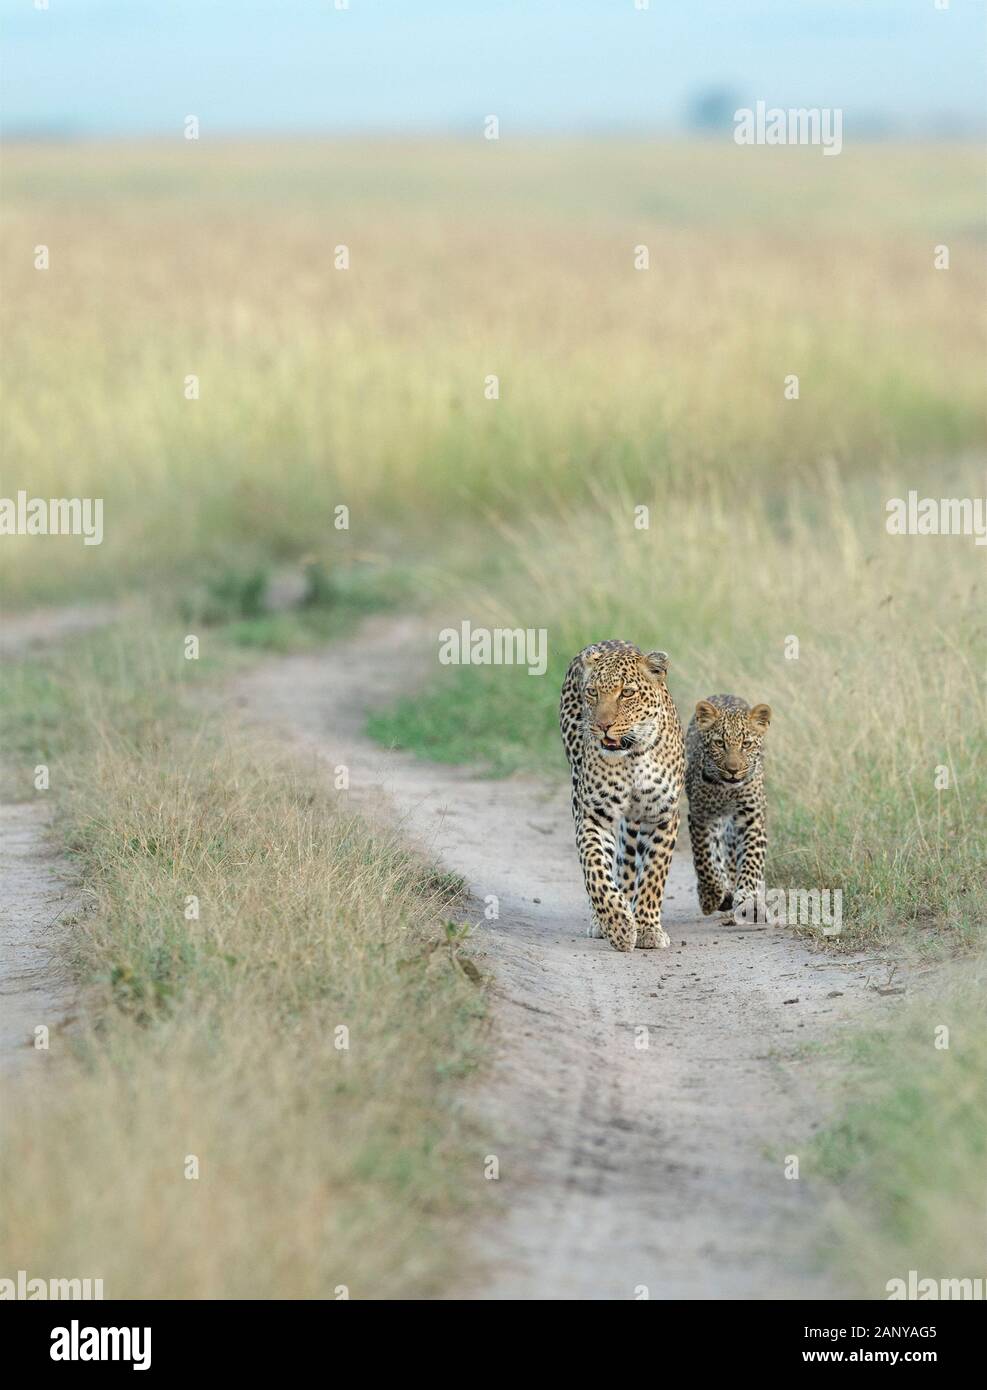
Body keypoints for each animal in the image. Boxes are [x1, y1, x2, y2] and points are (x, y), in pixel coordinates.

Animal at [559, 639, 685, 952]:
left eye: (627, 693)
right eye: (592, 692)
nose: (603, 725)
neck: (633, 758)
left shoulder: (663, 815)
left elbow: (653, 874)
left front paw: (648, 928)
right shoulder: (594, 815)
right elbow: (595, 870)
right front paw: (618, 926)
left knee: (627, 862)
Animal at [684, 694, 773, 922]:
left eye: (746, 744)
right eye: (719, 743)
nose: (733, 770)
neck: (726, 790)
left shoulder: (752, 818)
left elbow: (751, 861)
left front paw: (748, 900)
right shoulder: (701, 816)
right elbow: (705, 859)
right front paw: (711, 897)